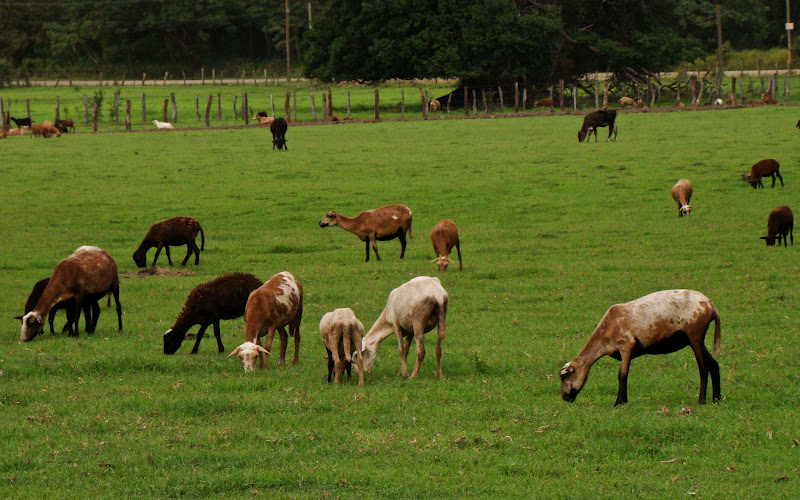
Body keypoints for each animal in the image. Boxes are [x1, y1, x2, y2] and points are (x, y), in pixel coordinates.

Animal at [560, 289, 721, 406]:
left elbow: (622, 374)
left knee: (703, 368)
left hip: (695, 334)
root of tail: (711, 306)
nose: (564, 398)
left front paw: (619, 403)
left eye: (564, 377)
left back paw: (702, 400)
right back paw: (716, 399)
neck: (605, 333)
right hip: (694, 339)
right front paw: (623, 401)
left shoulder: (626, 345)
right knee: (713, 364)